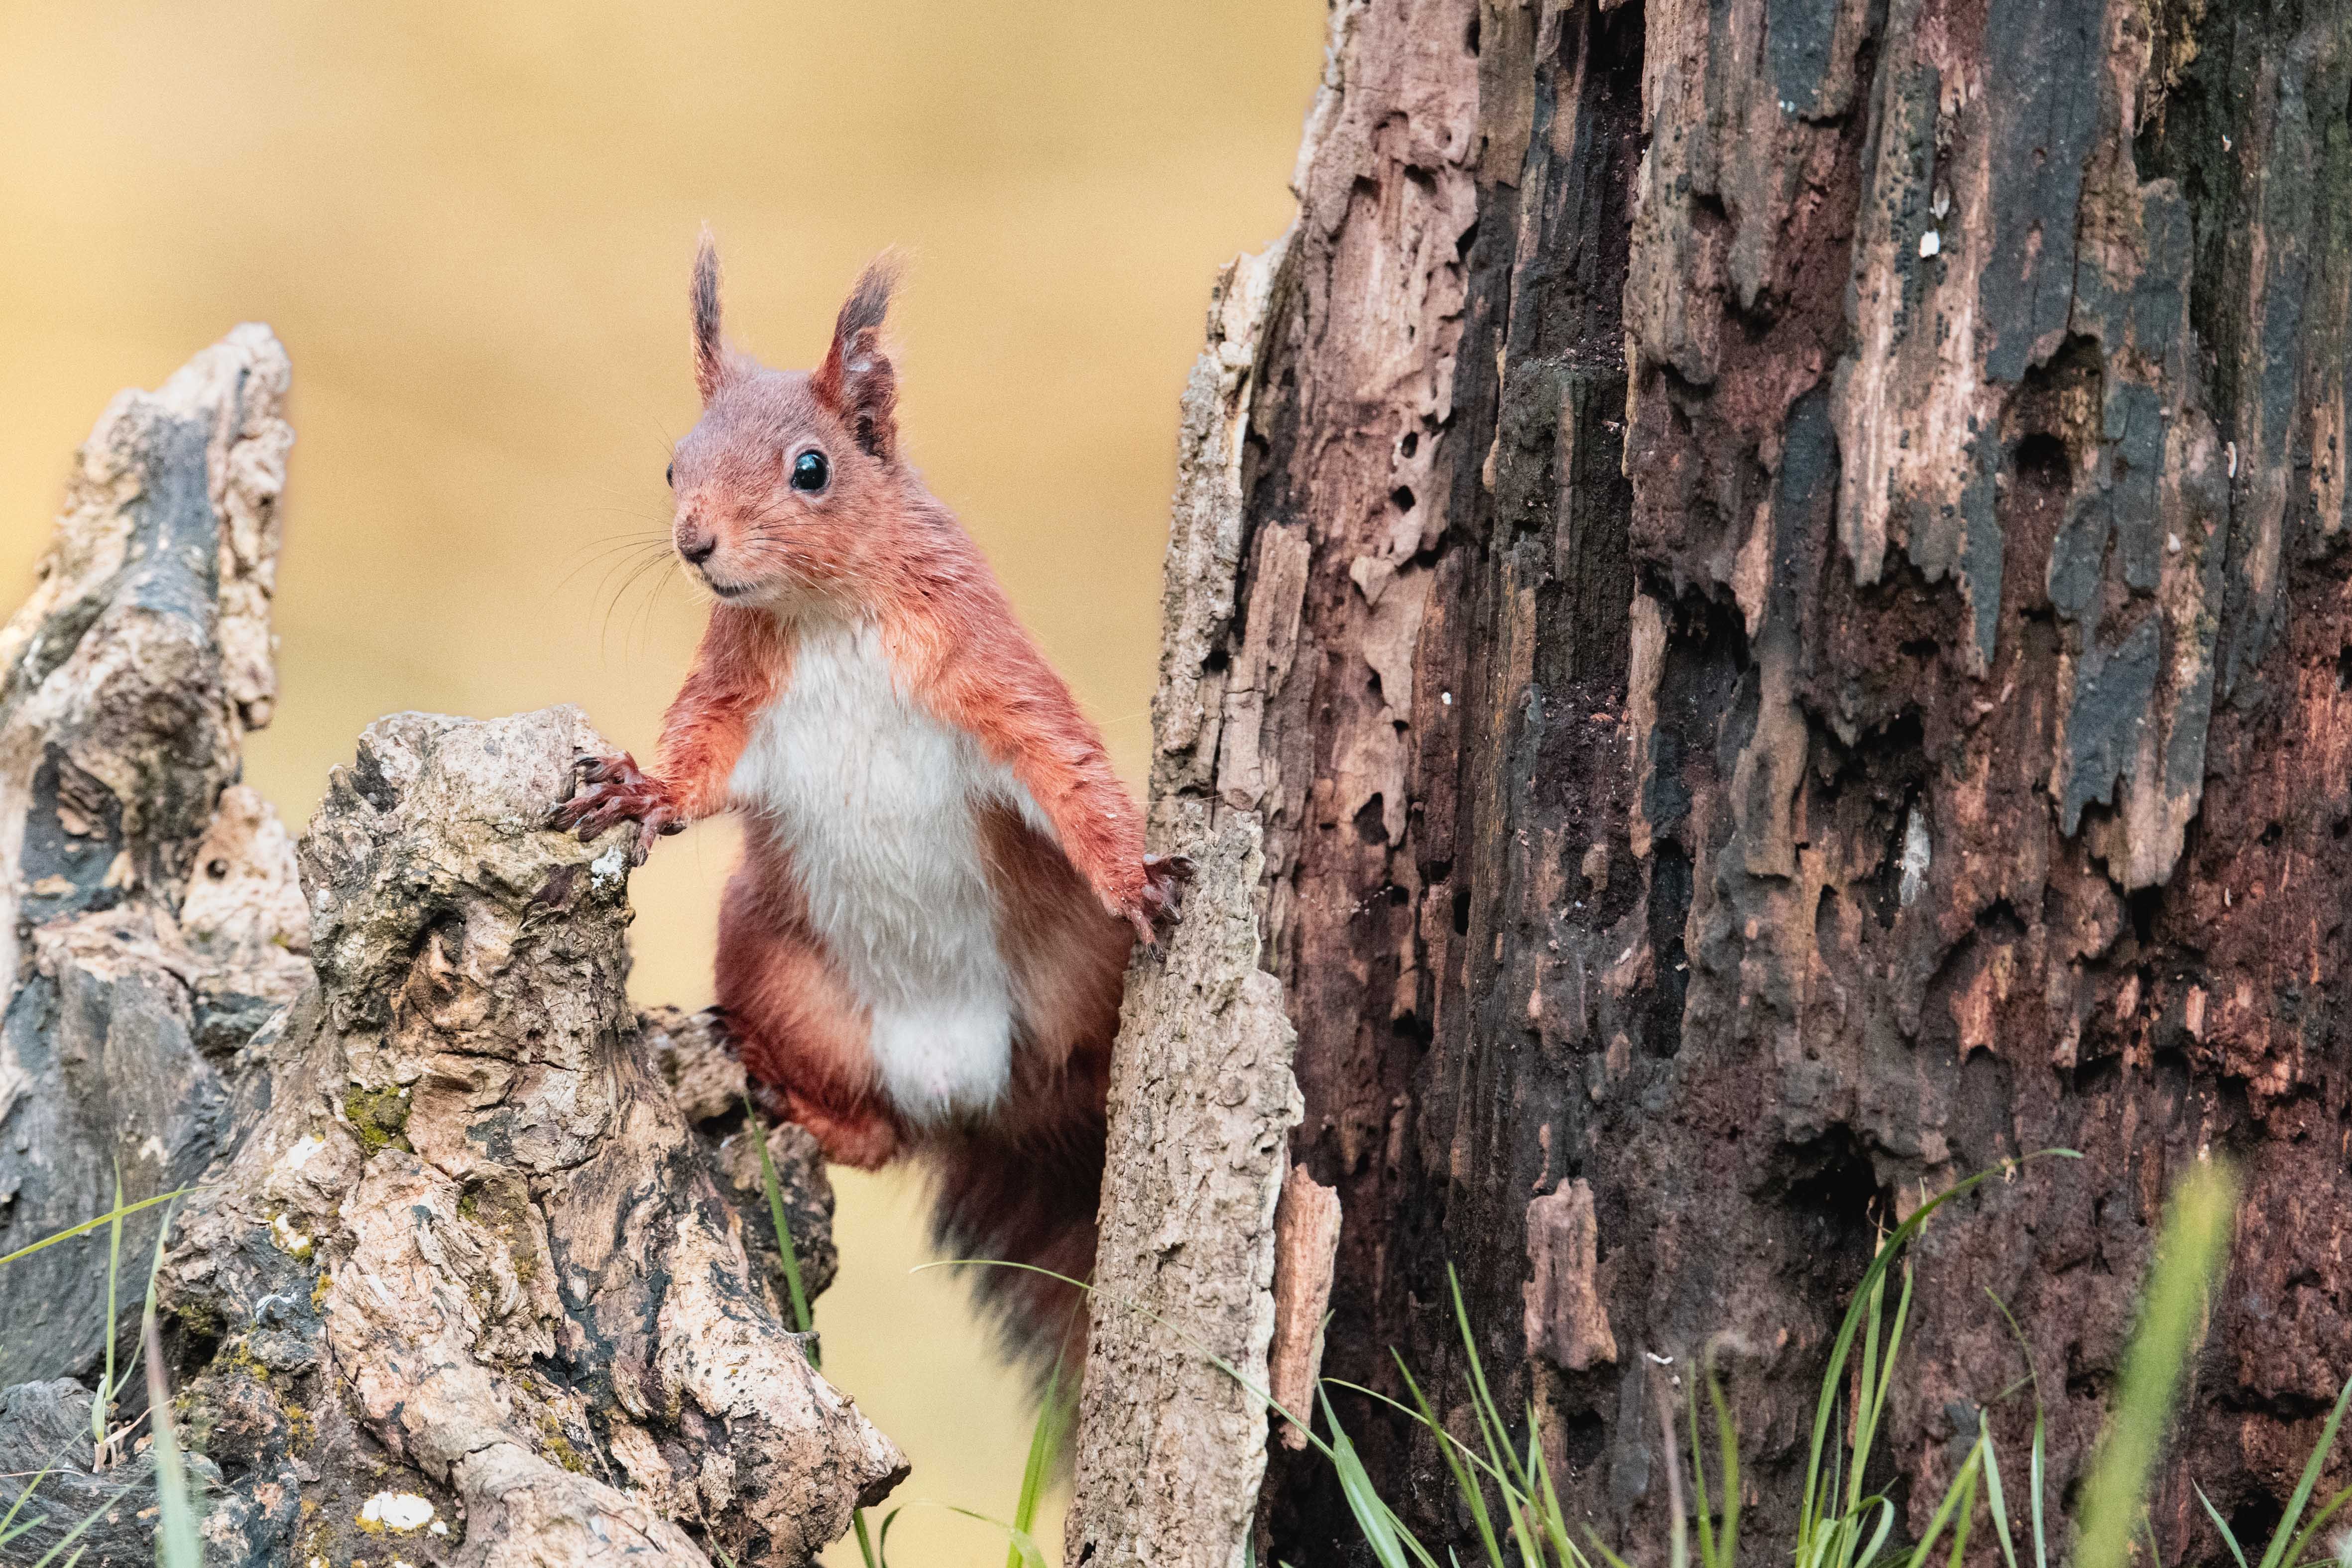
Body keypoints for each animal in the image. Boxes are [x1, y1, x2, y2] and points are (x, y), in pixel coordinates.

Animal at [552, 237, 1190, 1374]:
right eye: (674, 464)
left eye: (812, 468)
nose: (695, 542)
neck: (828, 614)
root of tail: (978, 1102)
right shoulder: (736, 697)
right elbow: (694, 766)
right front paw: (637, 789)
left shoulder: (988, 674)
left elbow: (1067, 768)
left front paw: (1132, 872)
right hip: (781, 972)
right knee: (880, 1137)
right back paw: (777, 1091)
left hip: (1070, 975)